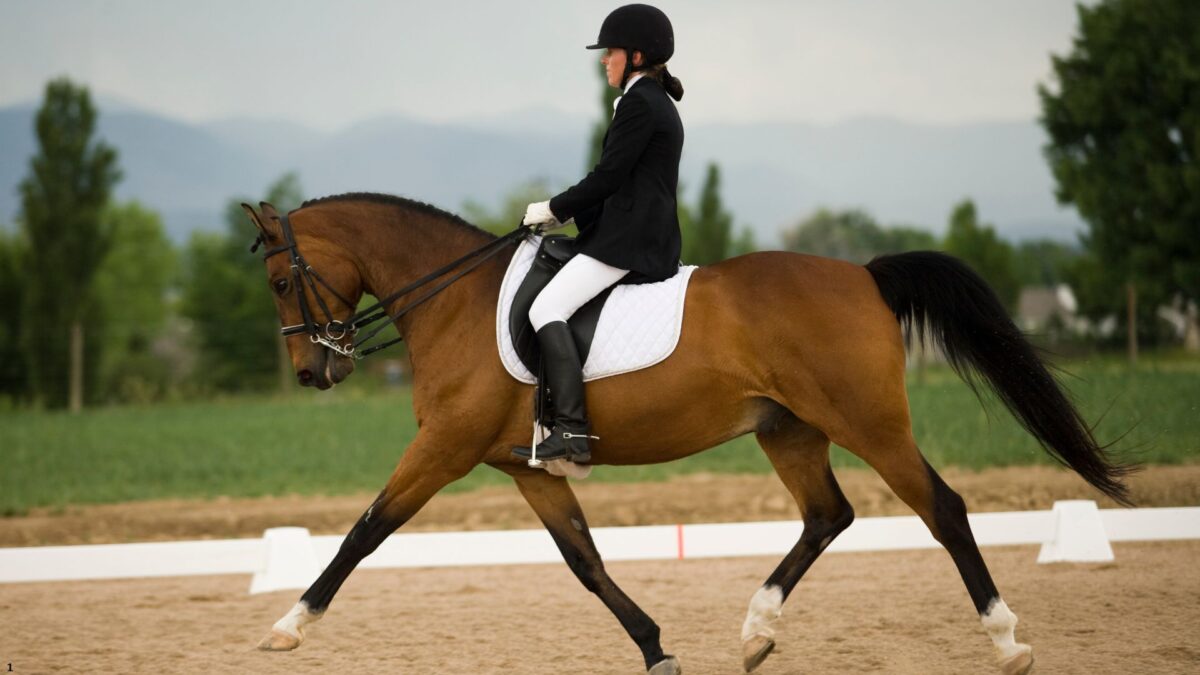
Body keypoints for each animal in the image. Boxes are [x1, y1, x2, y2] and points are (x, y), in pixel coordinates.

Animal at [243, 193, 1129, 675]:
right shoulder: (524, 467)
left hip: (869, 422)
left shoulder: (445, 450)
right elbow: (586, 562)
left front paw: (289, 625)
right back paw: (756, 631)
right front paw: (655, 647)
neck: (456, 300)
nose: (313, 372)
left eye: (284, 280)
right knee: (828, 514)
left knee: (942, 508)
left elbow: (367, 528)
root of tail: (863, 274)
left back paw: (1007, 640)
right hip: (790, 430)